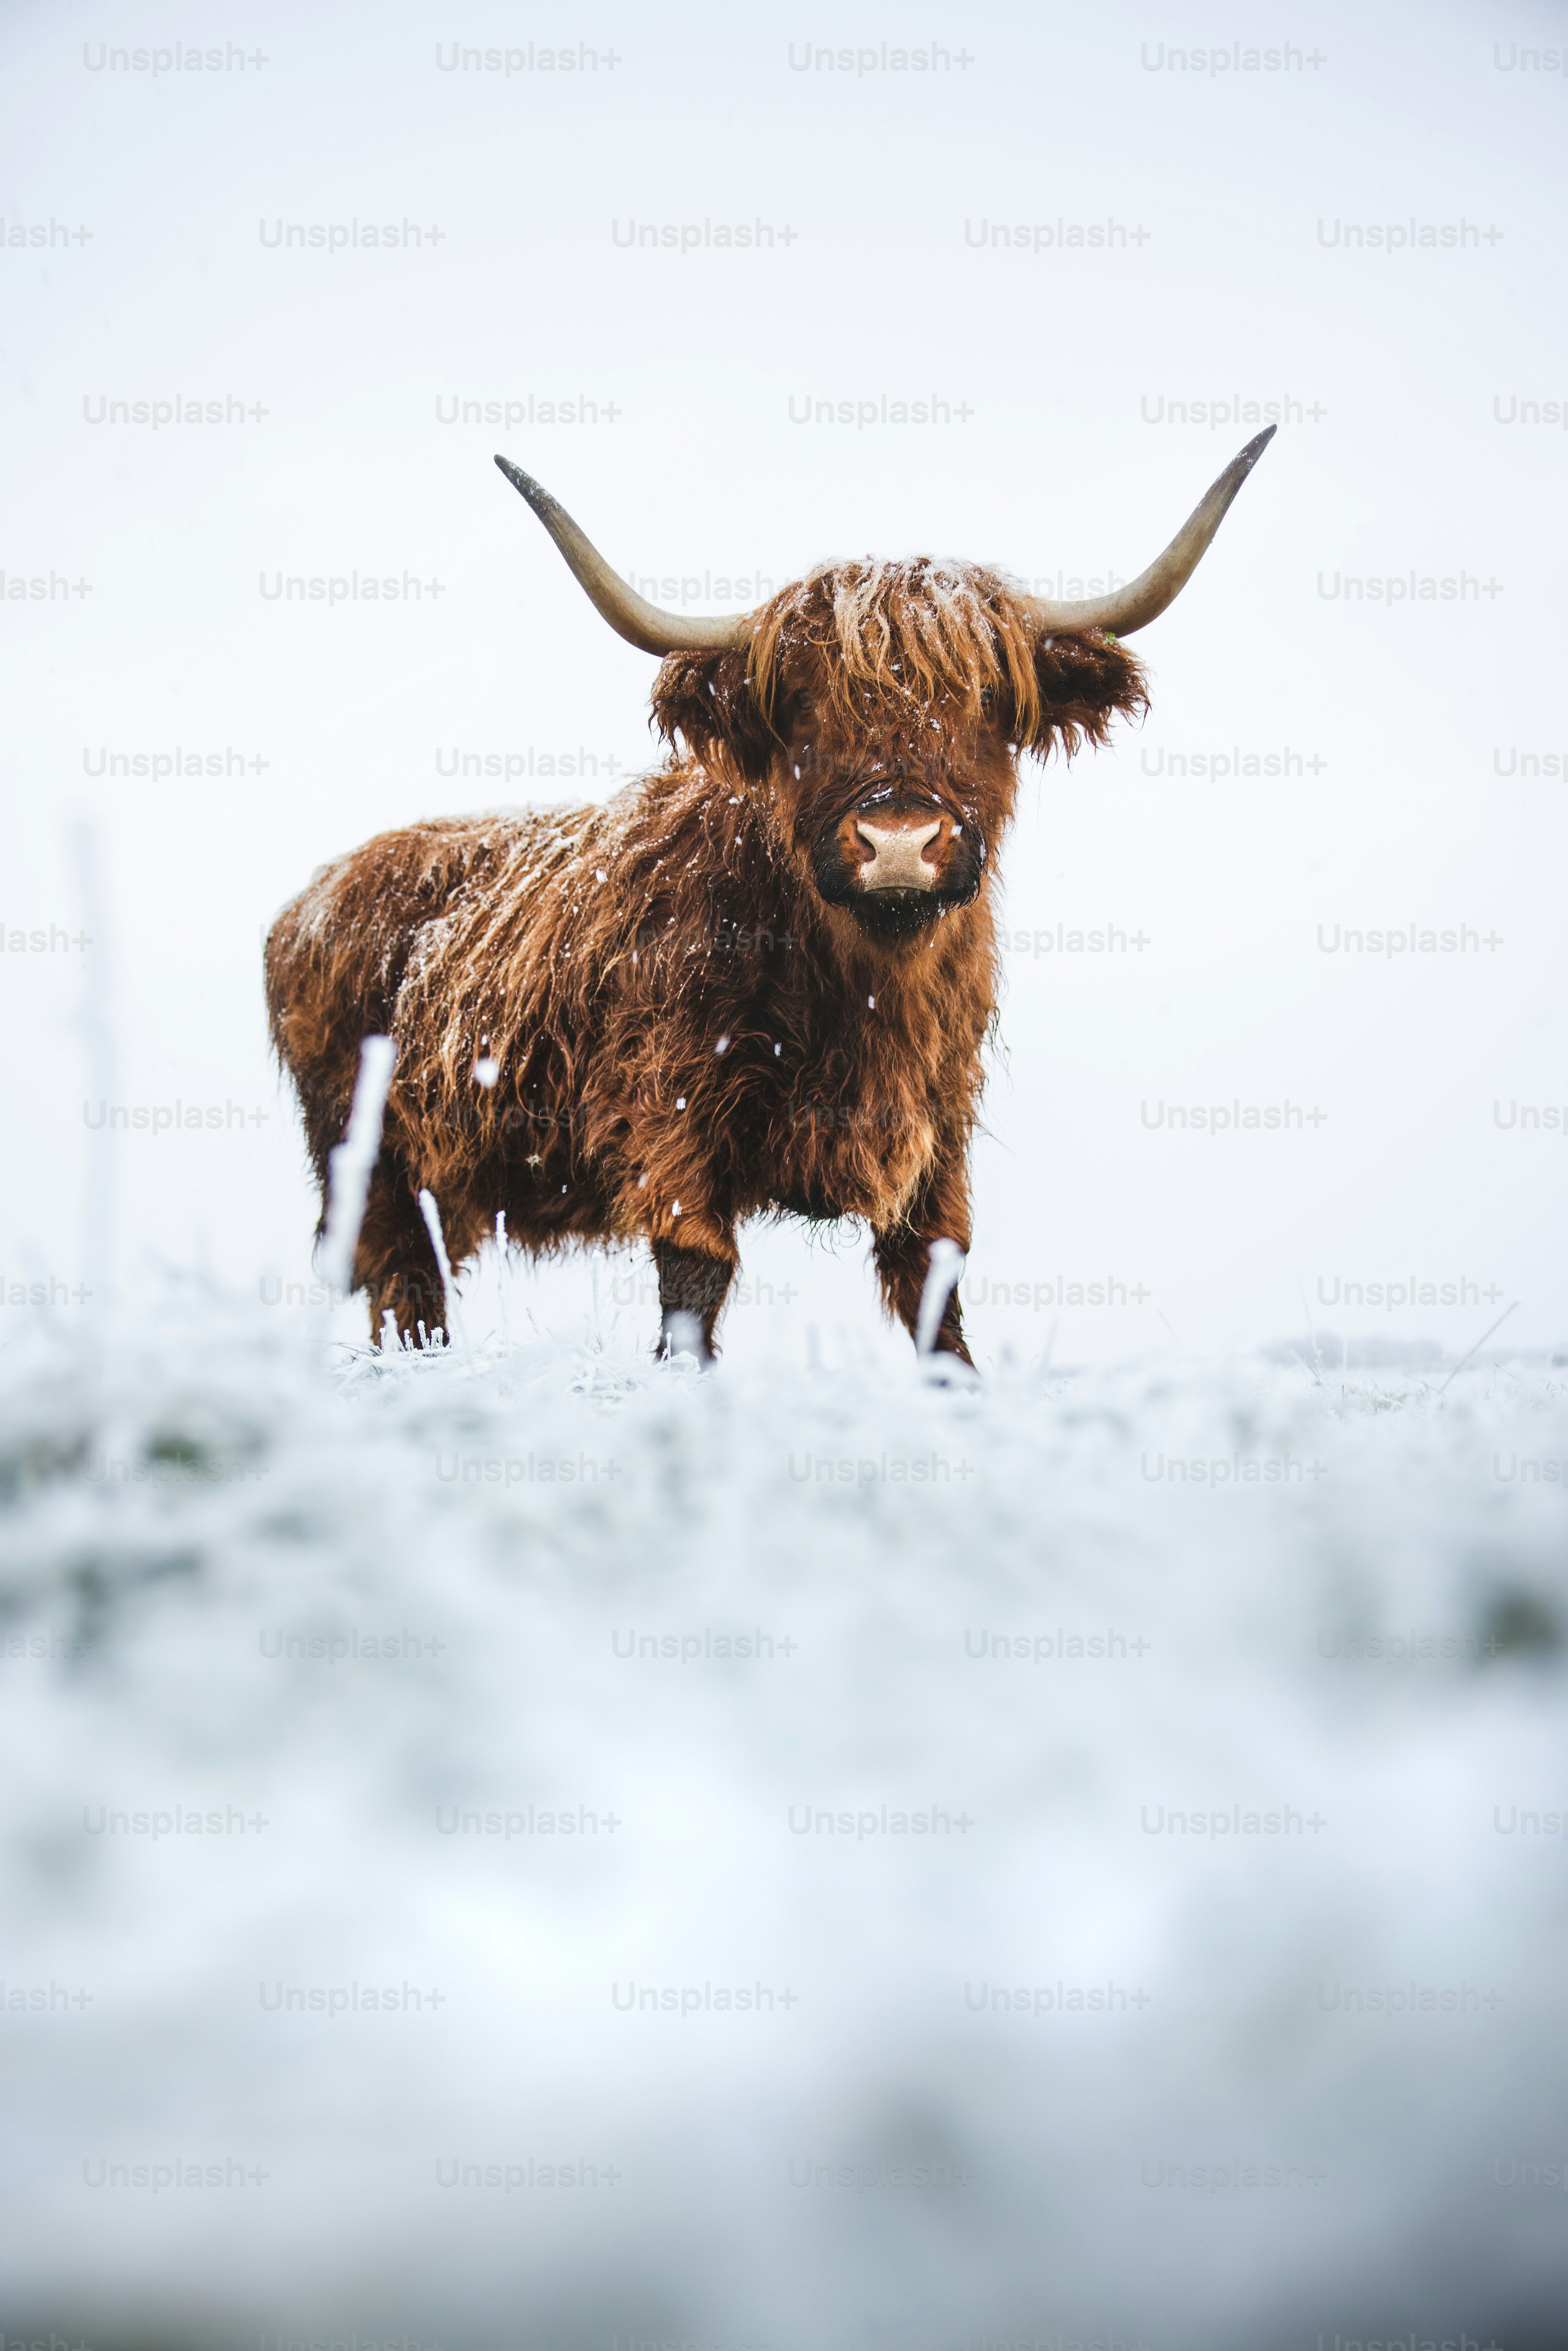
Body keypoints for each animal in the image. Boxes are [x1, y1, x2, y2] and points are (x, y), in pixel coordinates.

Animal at [264, 430, 1273, 1363]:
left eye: (989, 696)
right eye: (801, 703)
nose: (898, 840)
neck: (861, 991)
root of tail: (316, 894)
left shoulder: (936, 1135)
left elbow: (935, 1295)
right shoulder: (669, 1122)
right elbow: (694, 1288)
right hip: (368, 1163)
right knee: (406, 1289)